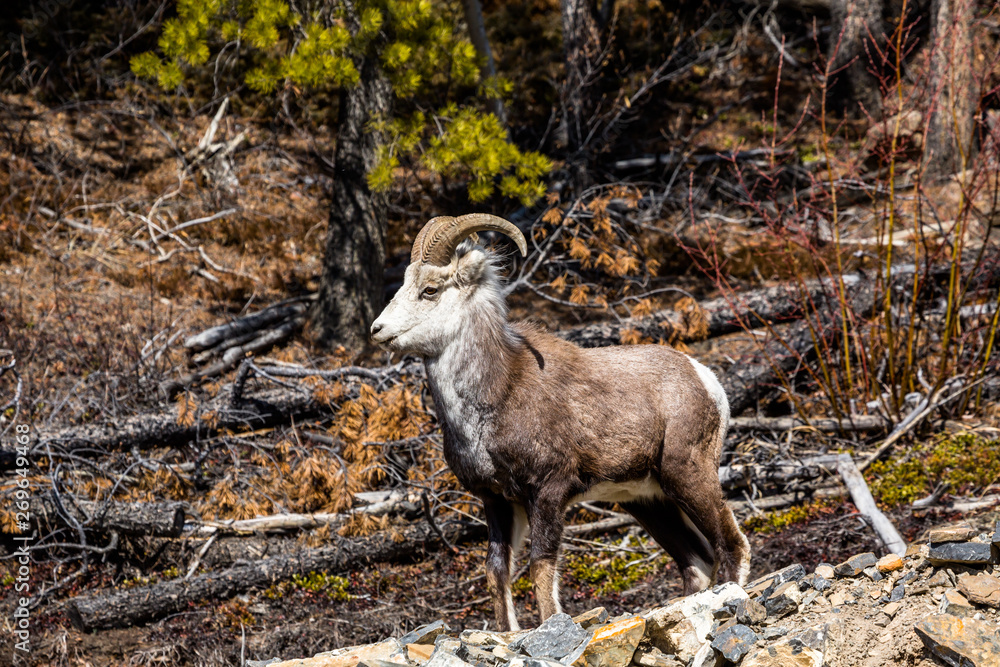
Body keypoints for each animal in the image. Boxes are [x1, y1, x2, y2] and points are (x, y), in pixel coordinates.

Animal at [370, 213, 751, 631]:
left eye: (430, 290)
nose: (377, 330)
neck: (496, 396)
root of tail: (706, 379)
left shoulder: (548, 491)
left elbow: (540, 566)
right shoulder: (497, 501)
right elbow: (496, 569)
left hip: (687, 476)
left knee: (732, 545)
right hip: (649, 500)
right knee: (697, 562)